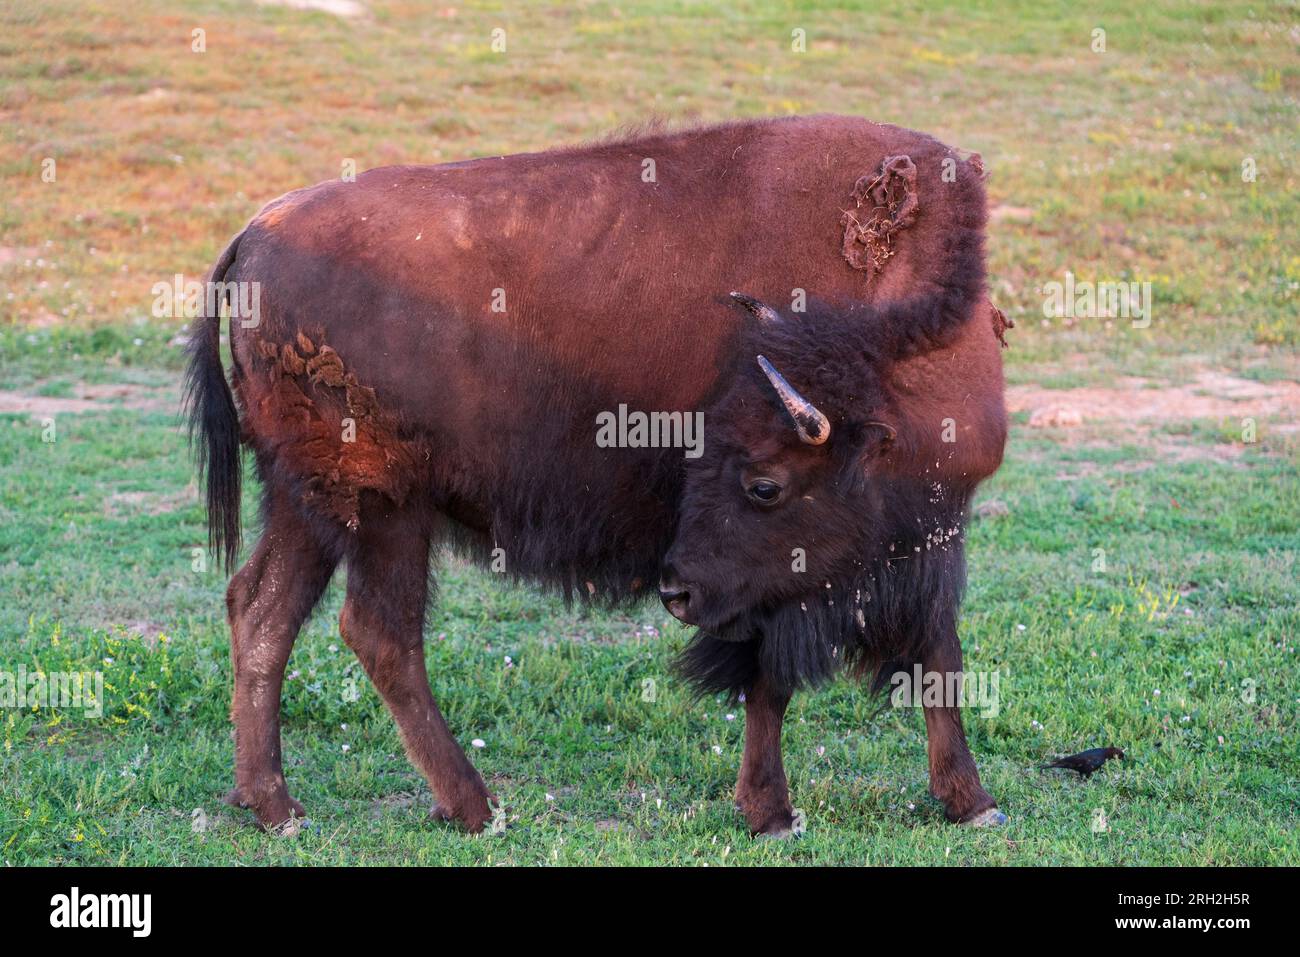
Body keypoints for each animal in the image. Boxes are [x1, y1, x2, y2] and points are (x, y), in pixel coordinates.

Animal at [186, 114, 1011, 835]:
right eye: (759, 482)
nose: (675, 592)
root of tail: (254, 236)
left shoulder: (927, 539)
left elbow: (939, 654)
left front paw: (970, 802)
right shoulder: (777, 582)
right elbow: (772, 682)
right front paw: (774, 813)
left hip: (306, 502)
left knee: (262, 610)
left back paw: (274, 806)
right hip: (385, 506)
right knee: (379, 631)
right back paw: (475, 808)